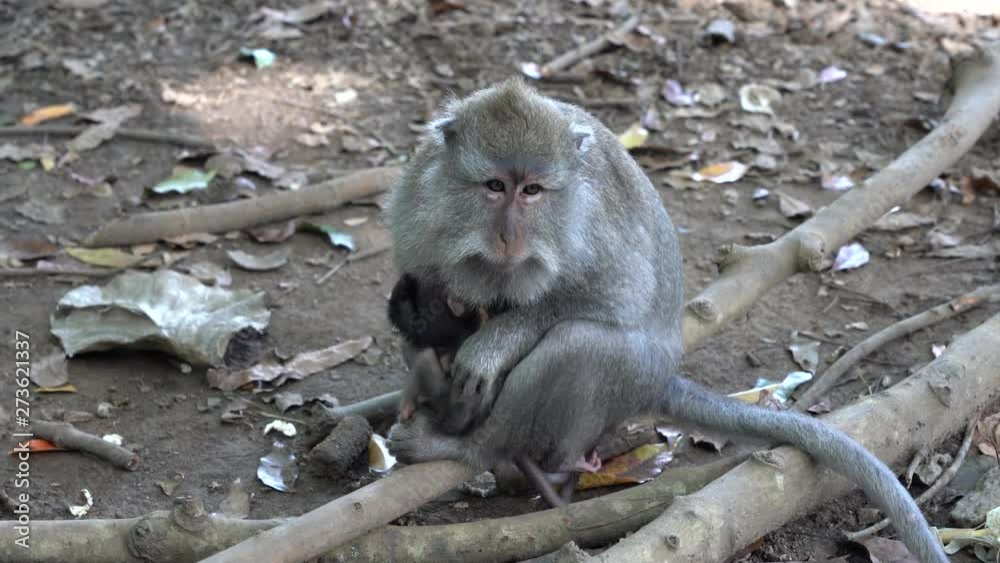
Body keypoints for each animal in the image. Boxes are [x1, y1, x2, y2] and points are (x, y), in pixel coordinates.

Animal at [383, 77, 947, 562]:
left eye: (533, 191)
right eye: (495, 186)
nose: (508, 237)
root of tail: (663, 375)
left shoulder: (590, 225)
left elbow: (615, 296)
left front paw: (492, 345)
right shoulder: (417, 211)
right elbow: (423, 287)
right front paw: (437, 333)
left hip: (629, 380)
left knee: (580, 342)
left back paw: (469, 447)